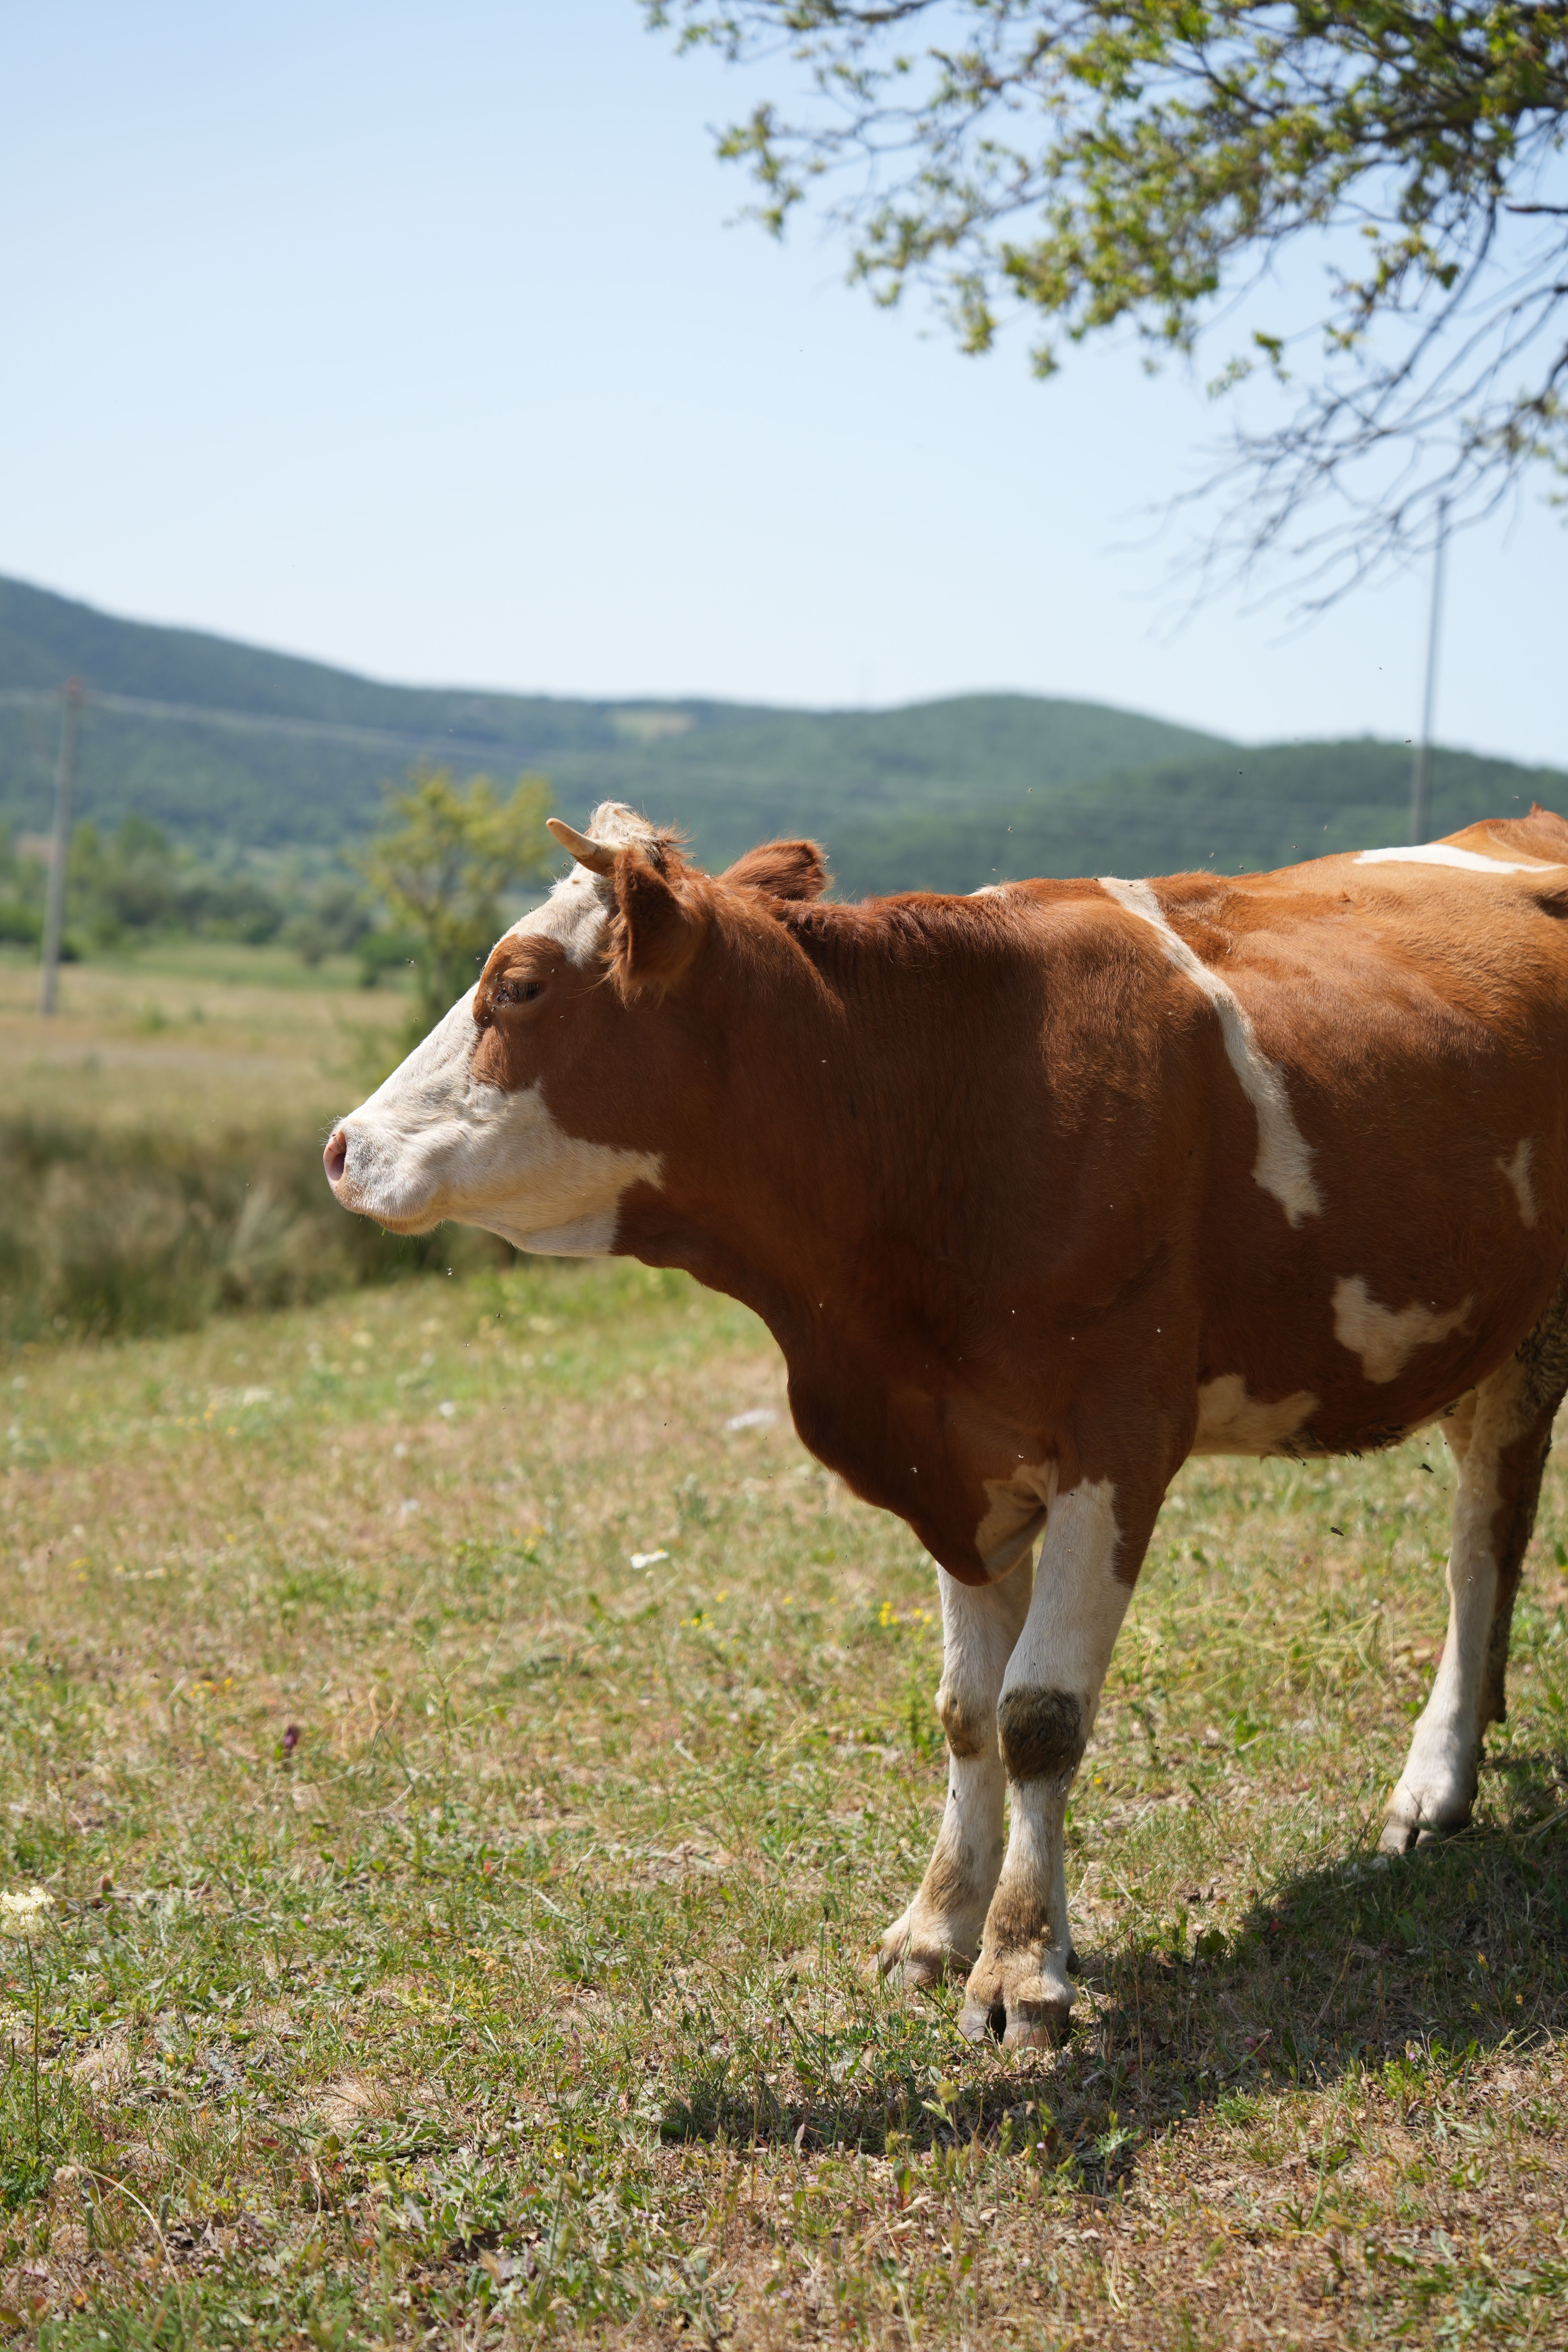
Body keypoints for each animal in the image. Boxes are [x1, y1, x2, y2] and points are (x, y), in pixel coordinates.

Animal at [324, 799, 1568, 2048]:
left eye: (518, 984)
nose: (343, 1147)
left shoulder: (1118, 1435)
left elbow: (1041, 1713)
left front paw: (1019, 1961)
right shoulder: (957, 1460)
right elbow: (970, 1710)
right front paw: (940, 1924)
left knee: (1479, 1547)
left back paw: (1434, 1778)